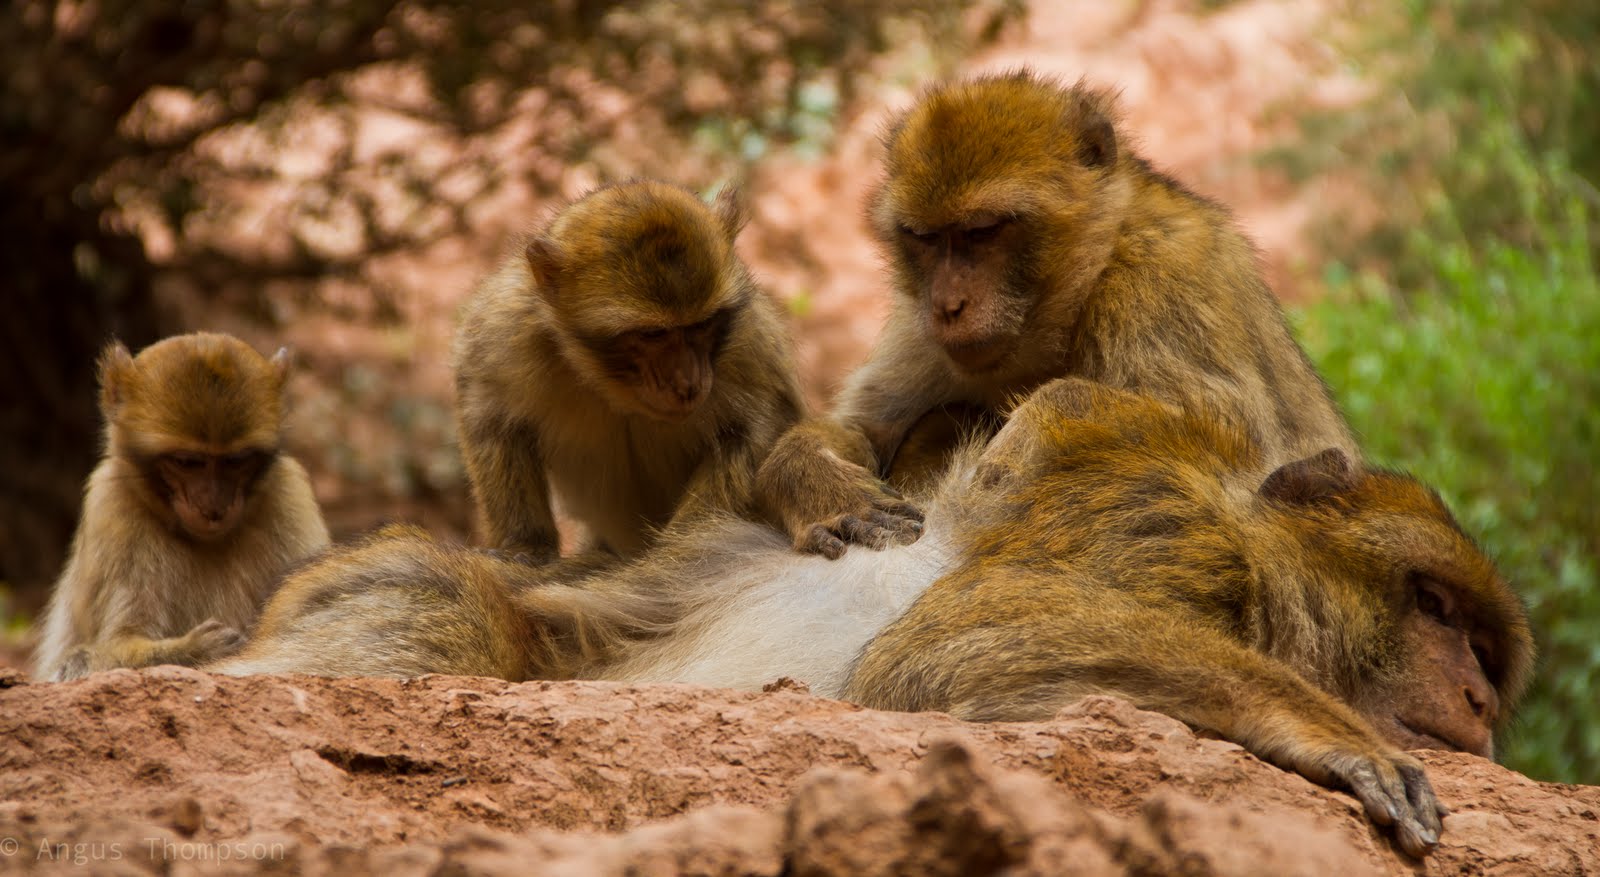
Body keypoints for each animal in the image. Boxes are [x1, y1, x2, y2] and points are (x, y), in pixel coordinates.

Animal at [32, 333, 330, 682]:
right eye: (188, 462)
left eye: (236, 461)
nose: (213, 507)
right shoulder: (111, 505)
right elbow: (118, 641)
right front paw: (197, 649)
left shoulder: (291, 494)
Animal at [452, 180, 805, 562]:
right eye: (653, 334)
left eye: (702, 325)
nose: (687, 383)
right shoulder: (505, 330)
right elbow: (491, 420)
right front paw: (525, 542)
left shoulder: (751, 345)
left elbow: (753, 428)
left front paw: (684, 547)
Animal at [755, 71, 1357, 558]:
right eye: (925, 238)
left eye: (981, 232)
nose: (948, 305)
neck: (1088, 275)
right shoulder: (918, 326)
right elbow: (861, 431)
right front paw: (813, 480)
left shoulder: (1158, 279)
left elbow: (1238, 436)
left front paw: (1034, 430)